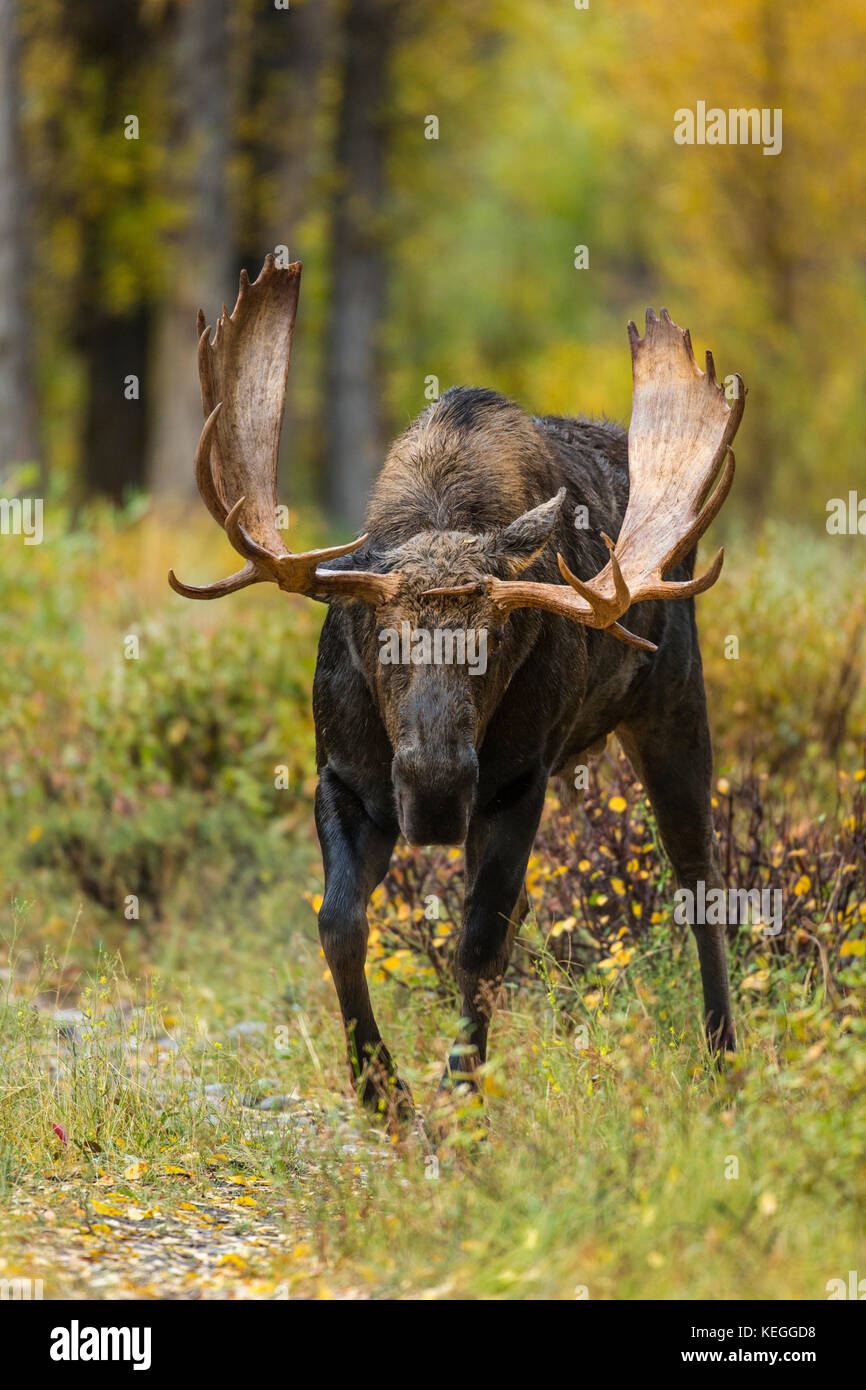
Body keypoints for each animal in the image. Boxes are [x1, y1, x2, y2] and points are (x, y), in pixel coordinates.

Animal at [169, 255, 745, 1125]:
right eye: (380, 636)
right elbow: (340, 924)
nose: (436, 788)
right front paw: (383, 1093)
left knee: (697, 874)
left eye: (494, 641)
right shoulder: (345, 779)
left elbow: (475, 942)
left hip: (673, 706)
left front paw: (460, 1096)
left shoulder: (516, 783)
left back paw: (723, 1056)